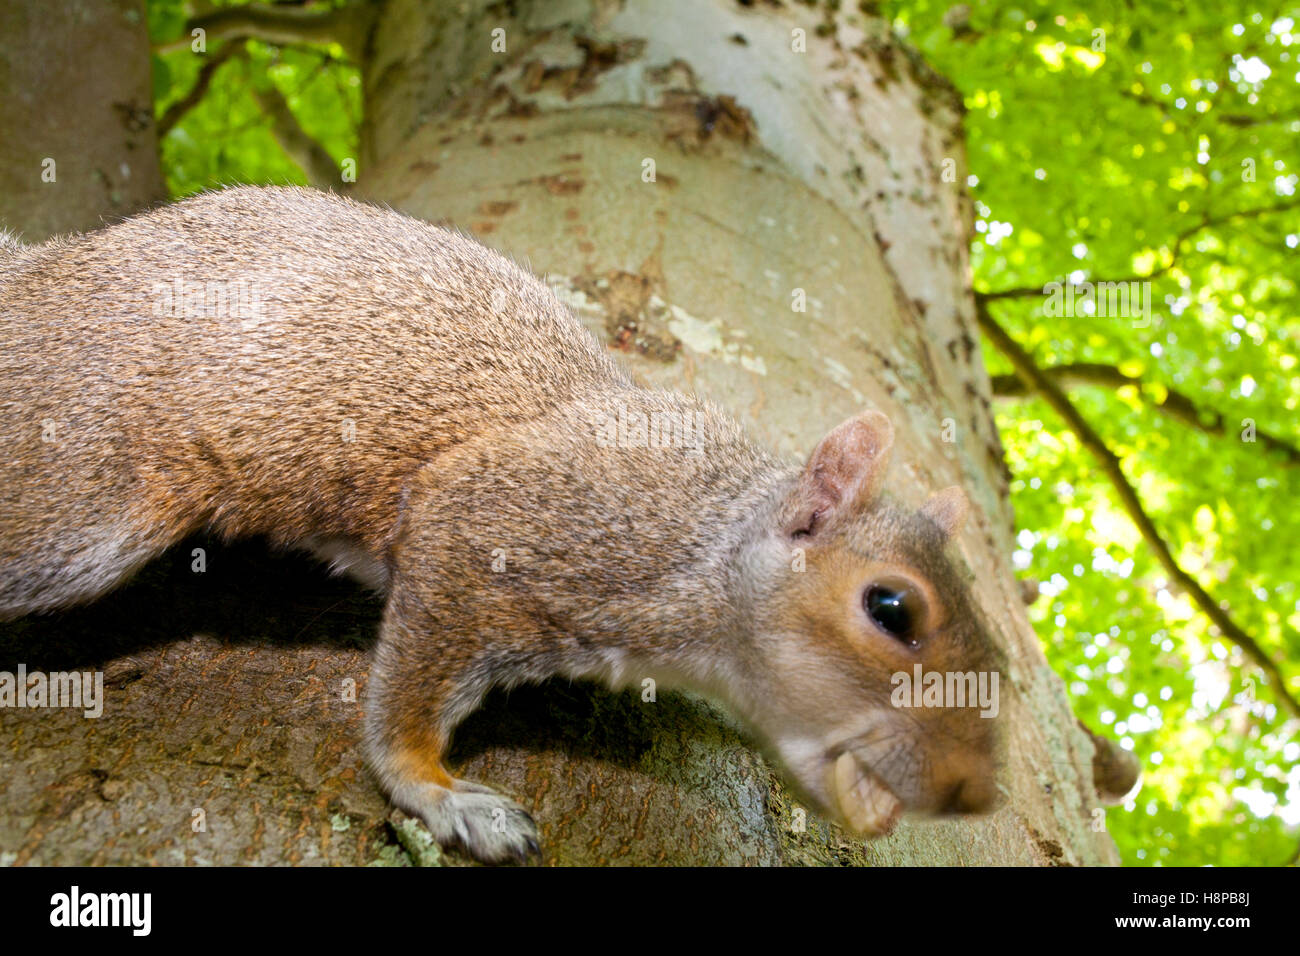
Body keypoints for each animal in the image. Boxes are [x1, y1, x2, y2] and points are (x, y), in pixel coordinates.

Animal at [0, 186, 1003, 863]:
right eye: (892, 609)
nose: (972, 792)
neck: (706, 540)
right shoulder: (497, 520)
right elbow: (406, 709)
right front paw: (443, 795)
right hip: (74, 499)